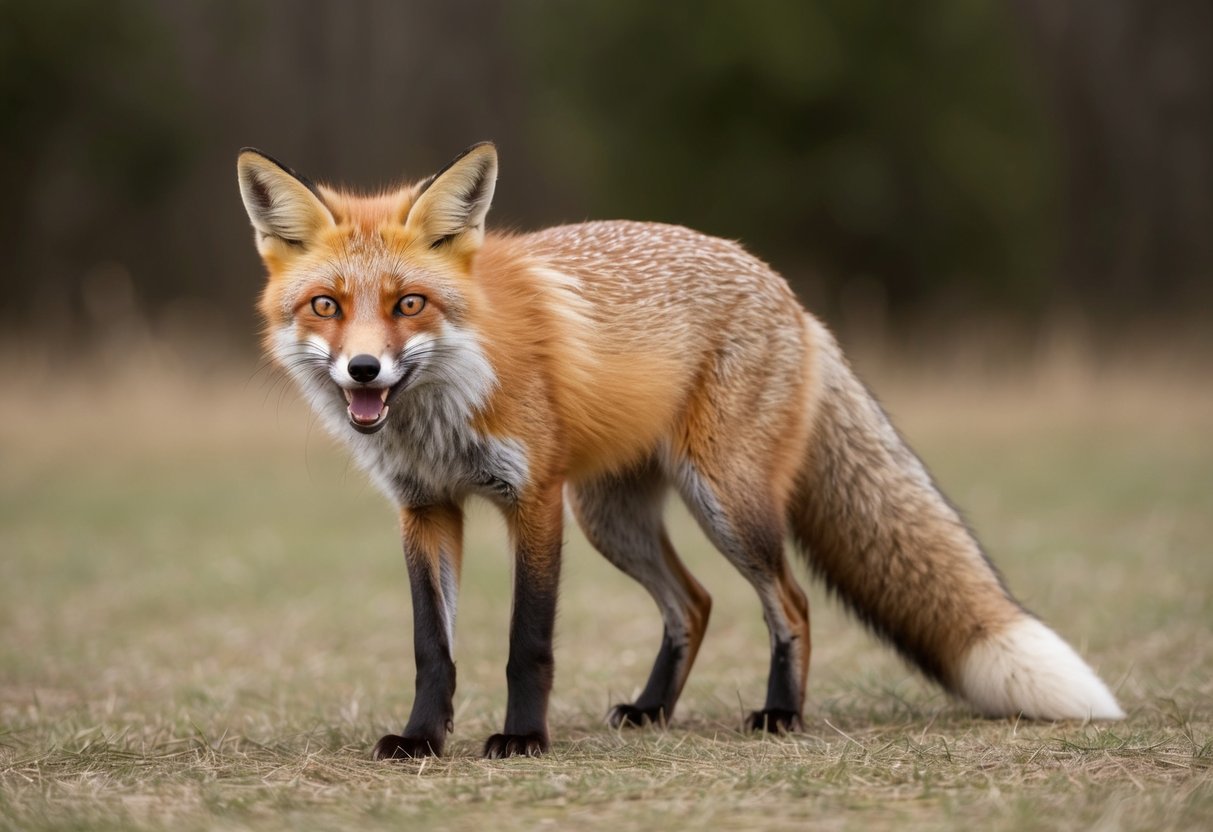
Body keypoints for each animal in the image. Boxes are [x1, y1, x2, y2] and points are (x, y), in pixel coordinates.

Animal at [236, 142, 1124, 759]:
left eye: (409, 304)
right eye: (326, 306)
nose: (363, 369)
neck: (447, 399)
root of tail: (789, 295)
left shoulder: (532, 499)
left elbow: (528, 642)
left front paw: (522, 740)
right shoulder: (426, 508)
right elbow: (433, 648)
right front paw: (422, 738)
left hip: (724, 502)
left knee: (788, 603)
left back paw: (781, 713)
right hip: (613, 519)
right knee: (692, 603)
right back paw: (652, 708)